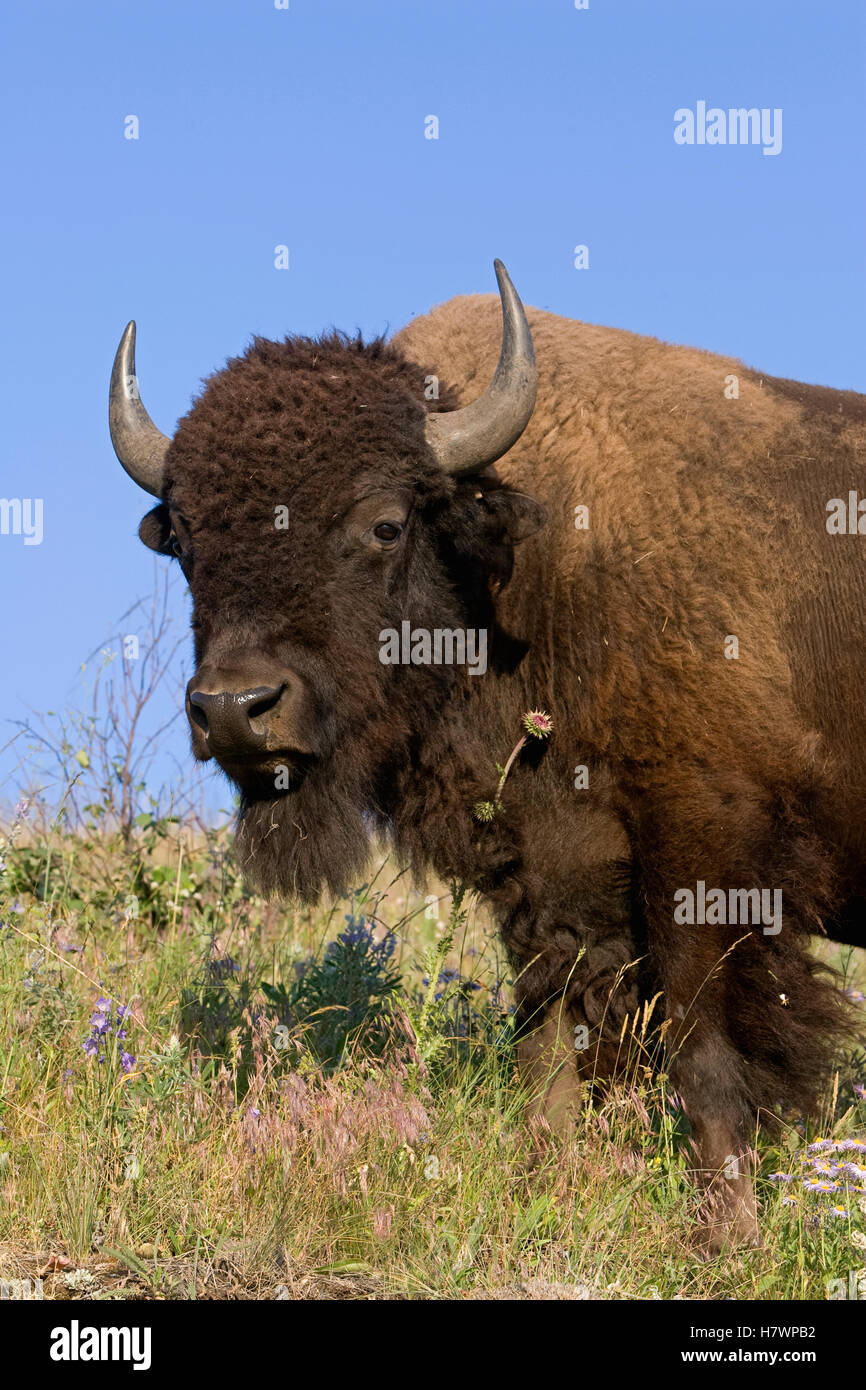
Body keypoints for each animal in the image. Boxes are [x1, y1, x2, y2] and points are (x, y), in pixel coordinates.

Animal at [109, 261, 864, 1251]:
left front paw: (724, 1236)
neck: (518, 564)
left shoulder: (706, 846)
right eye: (188, 540)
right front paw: (545, 1191)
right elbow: (548, 1049)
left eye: (385, 525)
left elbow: (703, 1047)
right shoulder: (542, 869)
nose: (236, 708)